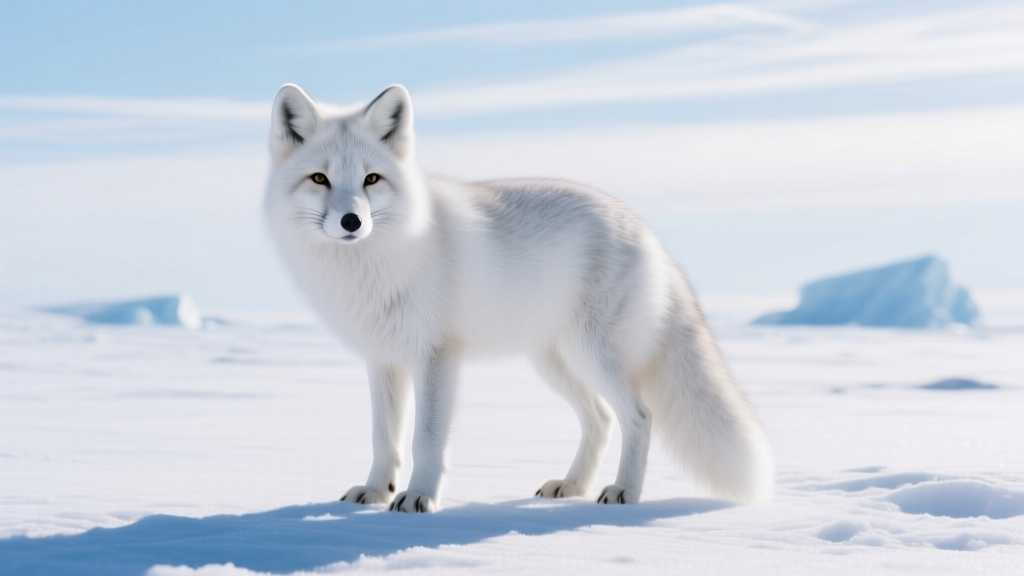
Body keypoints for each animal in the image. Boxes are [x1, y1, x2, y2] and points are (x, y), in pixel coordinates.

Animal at [263, 84, 774, 513]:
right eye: (319, 179)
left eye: (371, 179)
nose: (352, 222)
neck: (374, 263)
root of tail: (646, 232)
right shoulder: (383, 359)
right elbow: (382, 437)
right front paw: (375, 491)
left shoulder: (436, 355)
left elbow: (425, 439)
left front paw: (419, 498)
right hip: (554, 362)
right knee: (600, 419)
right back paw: (573, 485)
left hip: (593, 356)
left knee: (639, 416)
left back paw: (624, 492)